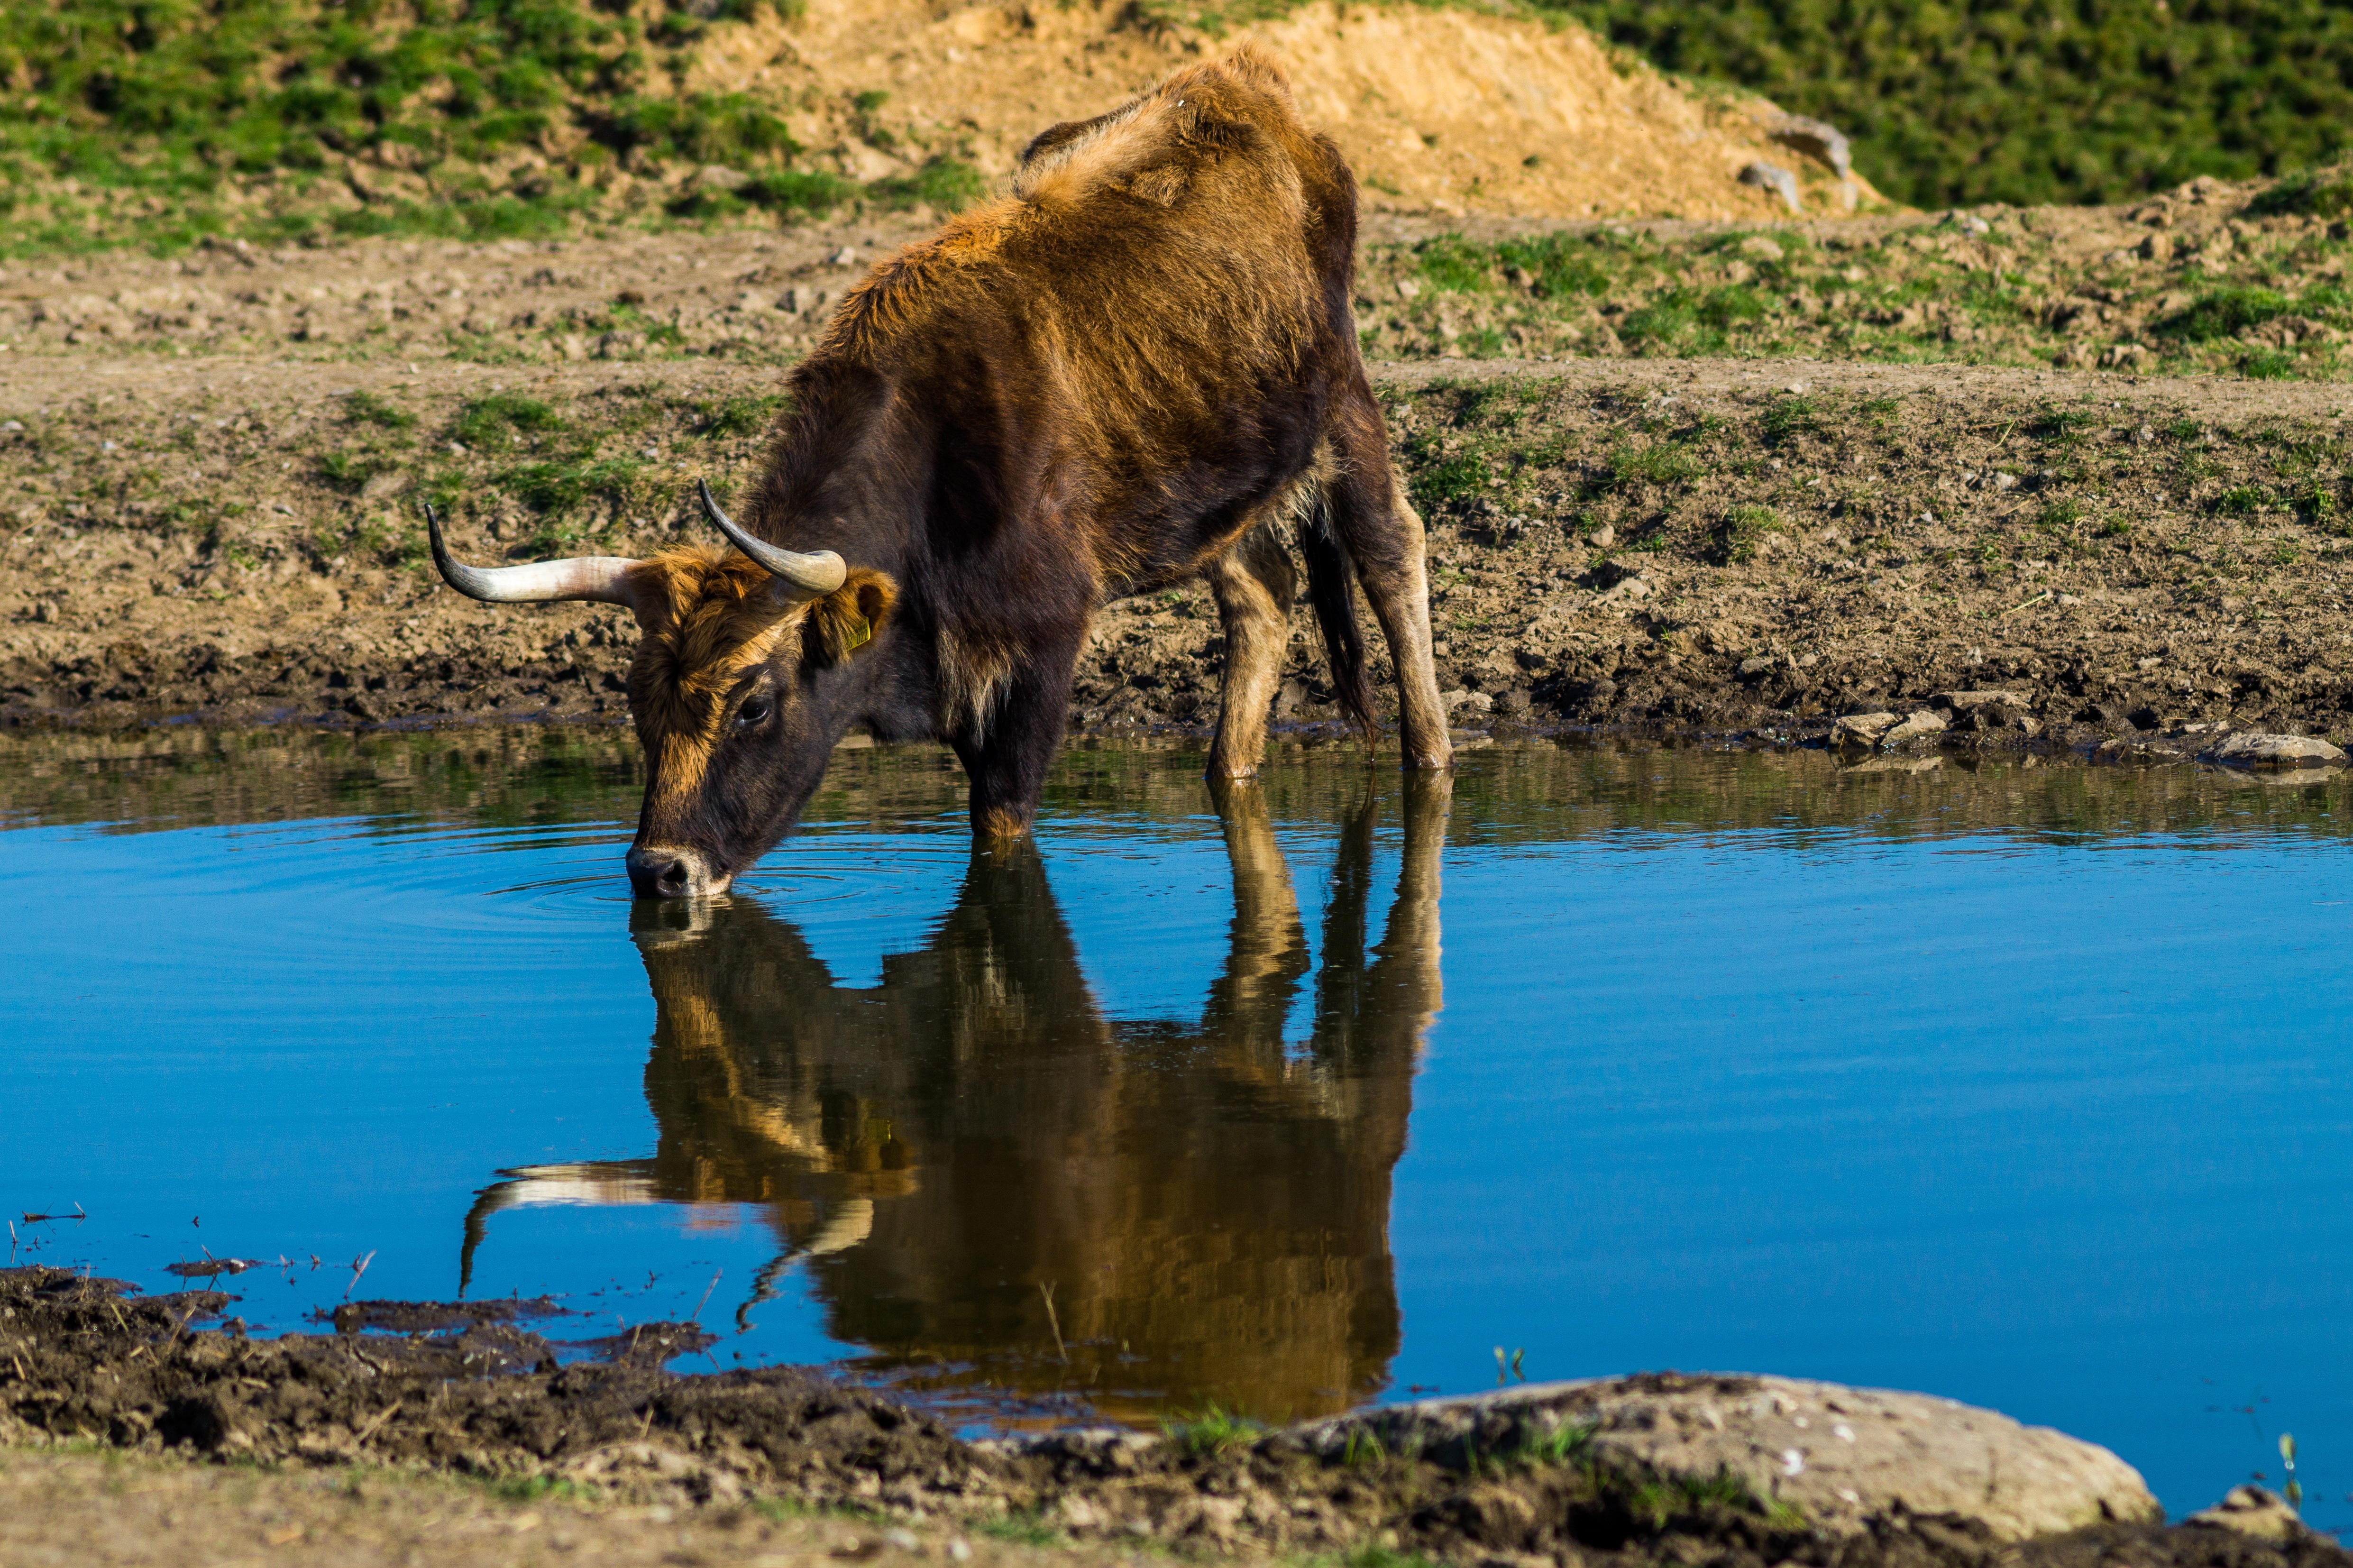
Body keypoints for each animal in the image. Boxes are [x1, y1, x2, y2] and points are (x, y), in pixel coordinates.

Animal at [428, 45, 1449, 899]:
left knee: (1390, 550)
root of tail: (1241, 85)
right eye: (638, 704)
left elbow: (1000, 823)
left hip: (1343, 403)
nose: (658, 871)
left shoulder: (1040, 650)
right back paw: (1227, 767)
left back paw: (1432, 759)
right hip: (1218, 478)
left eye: (752, 705)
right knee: (1260, 594)